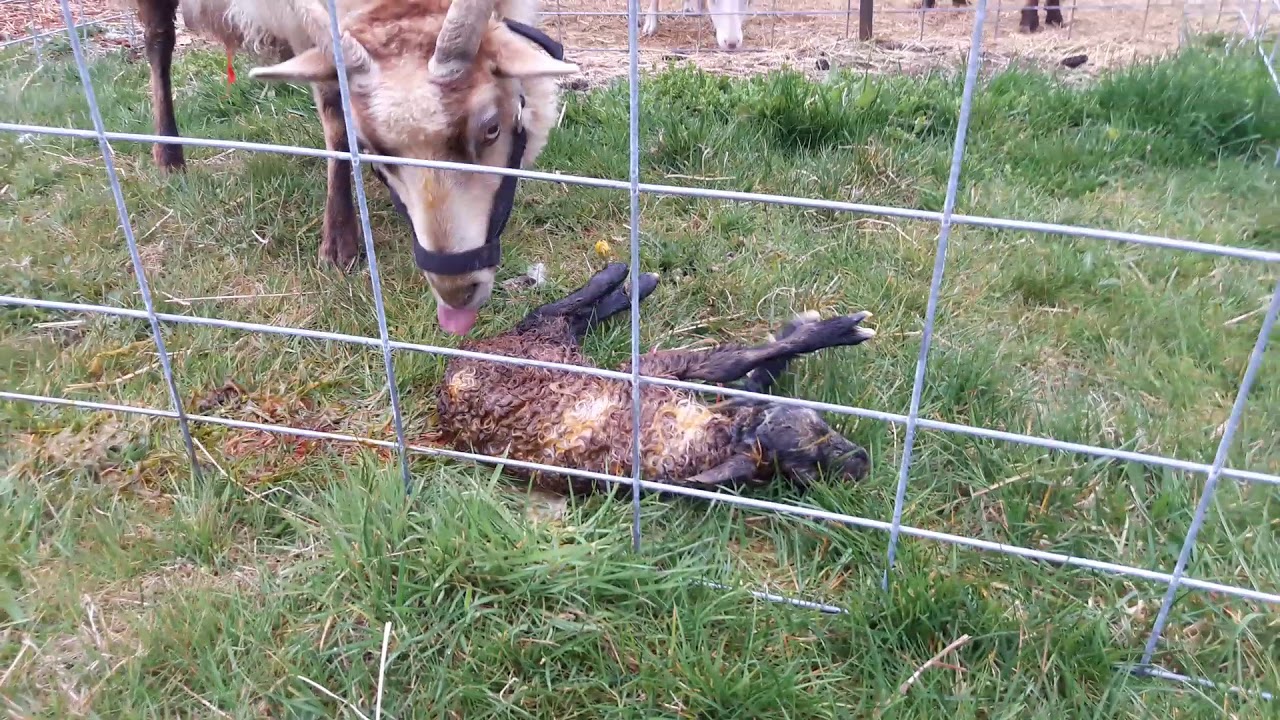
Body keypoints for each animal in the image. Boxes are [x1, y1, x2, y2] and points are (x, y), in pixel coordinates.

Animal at [126, 0, 580, 336]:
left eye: (491, 128)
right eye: (371, 147)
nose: (454, 291)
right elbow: (335, 114)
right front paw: (339, 242)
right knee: (158, 38)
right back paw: (169, 152)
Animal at [433, 263, 876, 495]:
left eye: (806, 476)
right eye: (816, 426)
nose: (863, 462)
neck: (713, 440)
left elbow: (749, 378)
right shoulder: (656, 371)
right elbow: (732, 362)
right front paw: (833, 329)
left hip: (557, 348)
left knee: (574, 320)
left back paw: (631, 287)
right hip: (537, 347)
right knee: (551, 312)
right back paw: (621, 277)